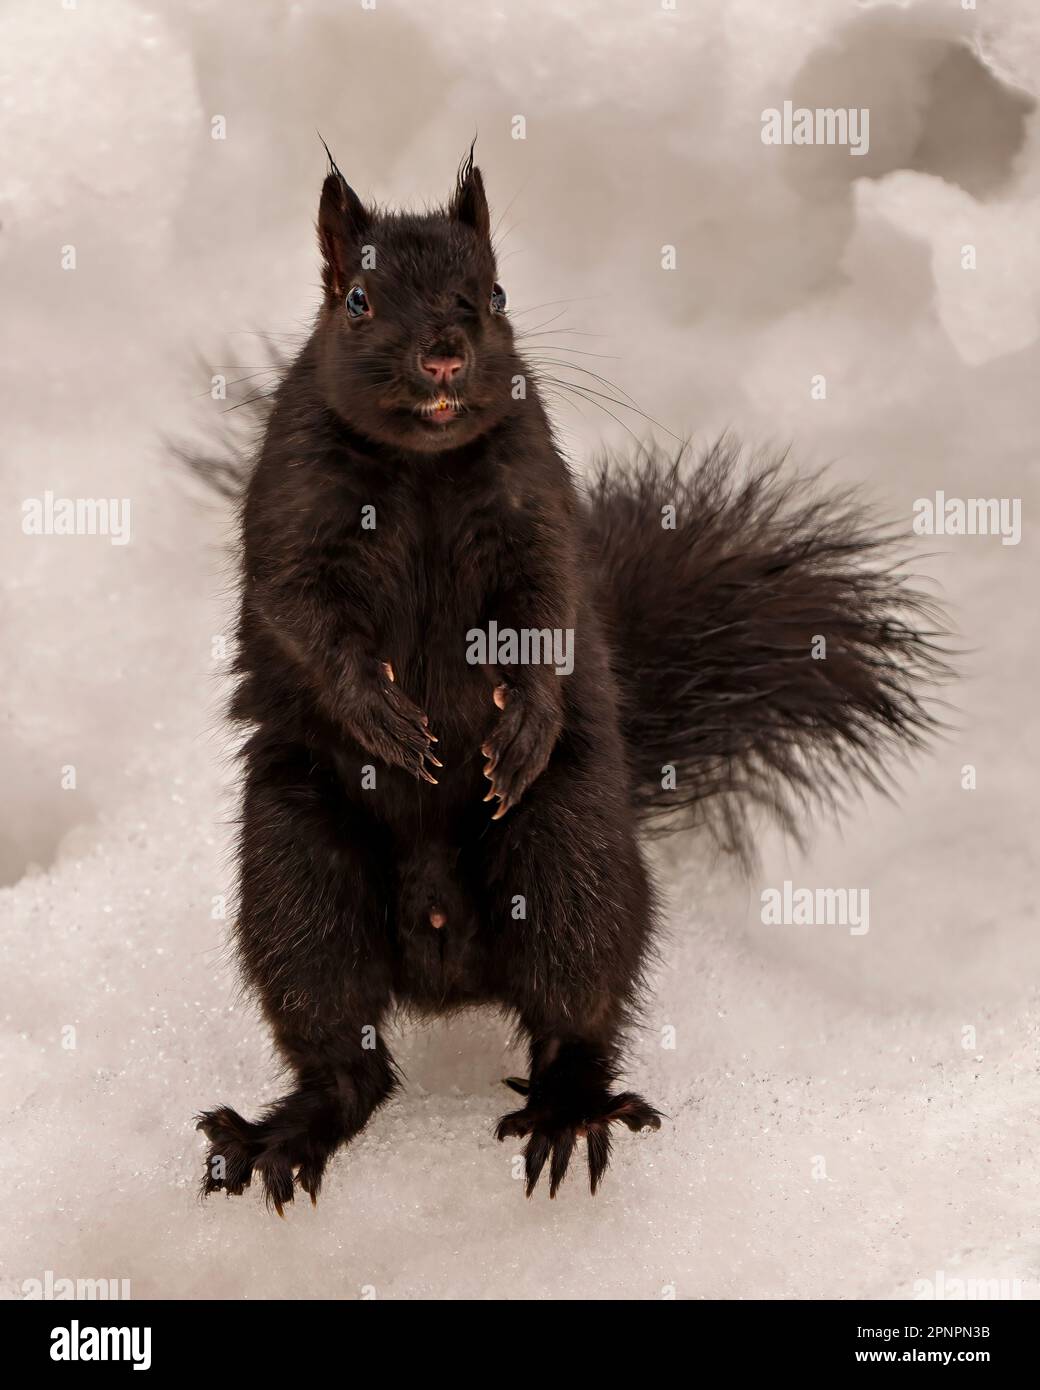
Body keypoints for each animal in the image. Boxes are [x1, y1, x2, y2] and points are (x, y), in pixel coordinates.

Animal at [194, 148, 948, 1213]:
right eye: (356, 299)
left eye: (497, 293)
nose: (444, 356)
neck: (422, 470)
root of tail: (446, 968)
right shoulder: (291, 513)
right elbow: (300, 612)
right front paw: (384, 716)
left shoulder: (538, 511)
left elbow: (549, 613)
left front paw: (521, 725)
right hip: (294, 872)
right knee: (347, 1053)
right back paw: (284, 1133)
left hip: (570, 852)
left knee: (574, 1007)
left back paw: (569, 1109)